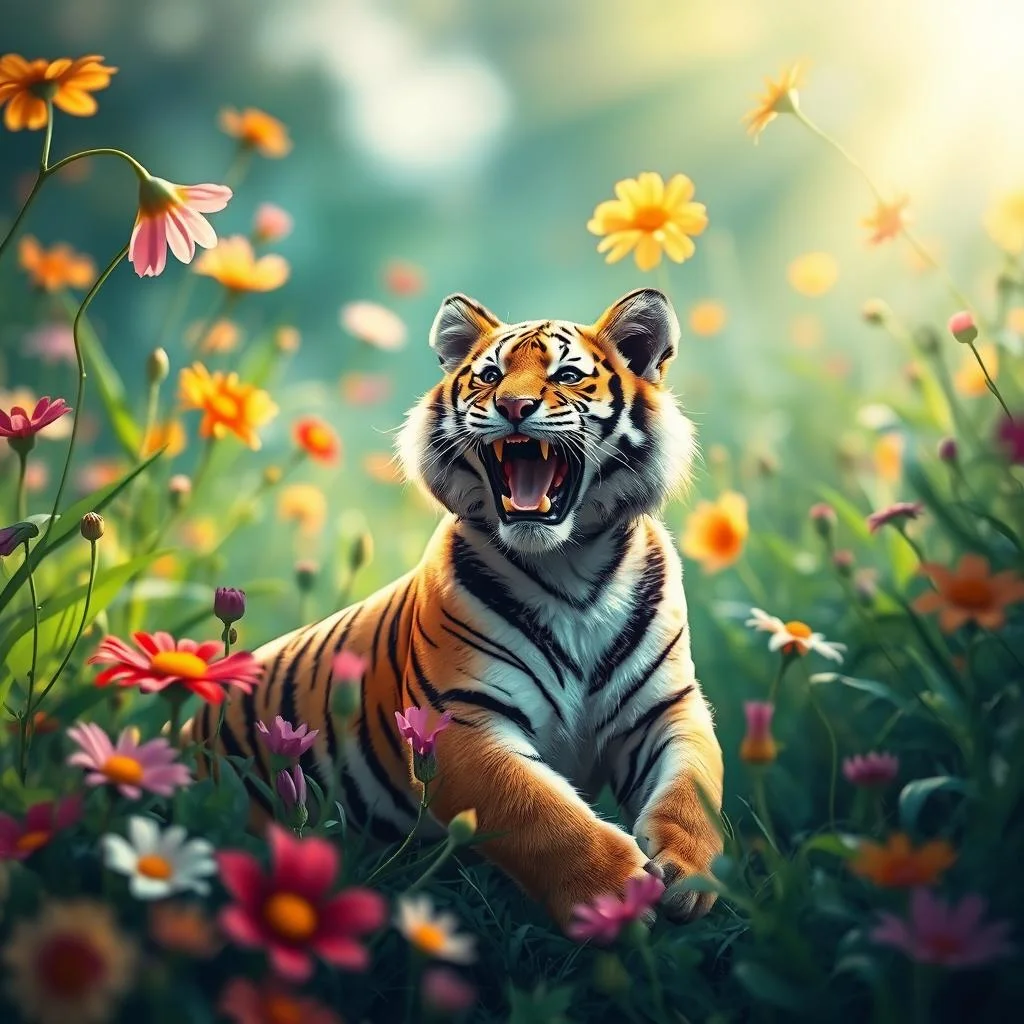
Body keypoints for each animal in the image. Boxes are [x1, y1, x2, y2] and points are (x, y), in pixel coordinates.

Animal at [188, 287, 725, 931]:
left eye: (567, 376)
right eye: (490, 376)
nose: (514, 406)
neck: (570, 567)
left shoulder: (668, 708)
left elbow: (694, 788)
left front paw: (688, 874)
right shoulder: (459, 723)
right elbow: (539, 812)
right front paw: (614, 892)